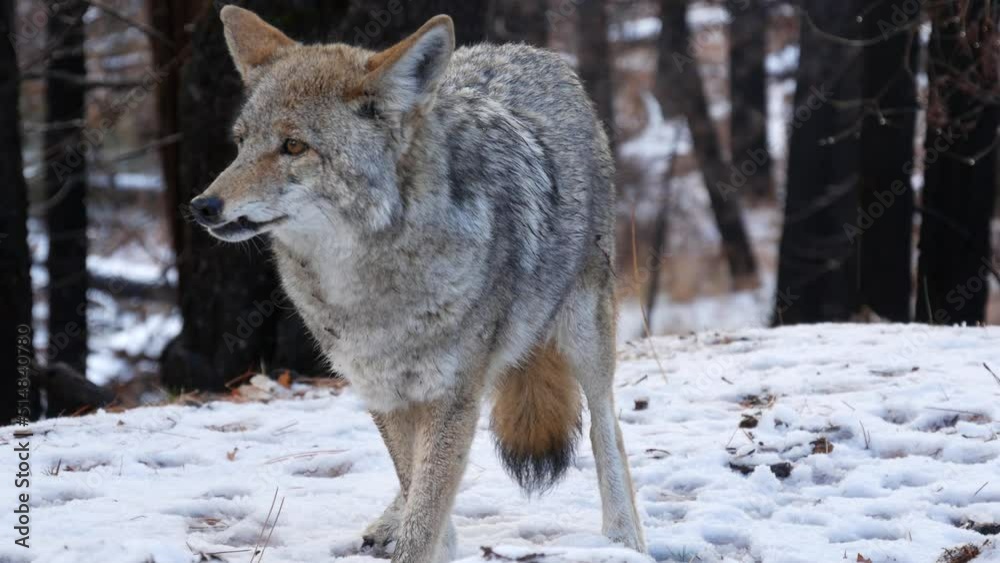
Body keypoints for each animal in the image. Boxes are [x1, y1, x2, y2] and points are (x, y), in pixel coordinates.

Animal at [190, 6, 645, 563]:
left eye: (293, 146)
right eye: (240, 144)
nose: (203, 206)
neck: (372, 287)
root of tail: (530, 51)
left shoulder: (451, 395)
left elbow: (426, 510)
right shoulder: (384, 393)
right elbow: (419, 494)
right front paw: (422, 532)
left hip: (582, 333)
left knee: (608, 427)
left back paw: (625, 538)